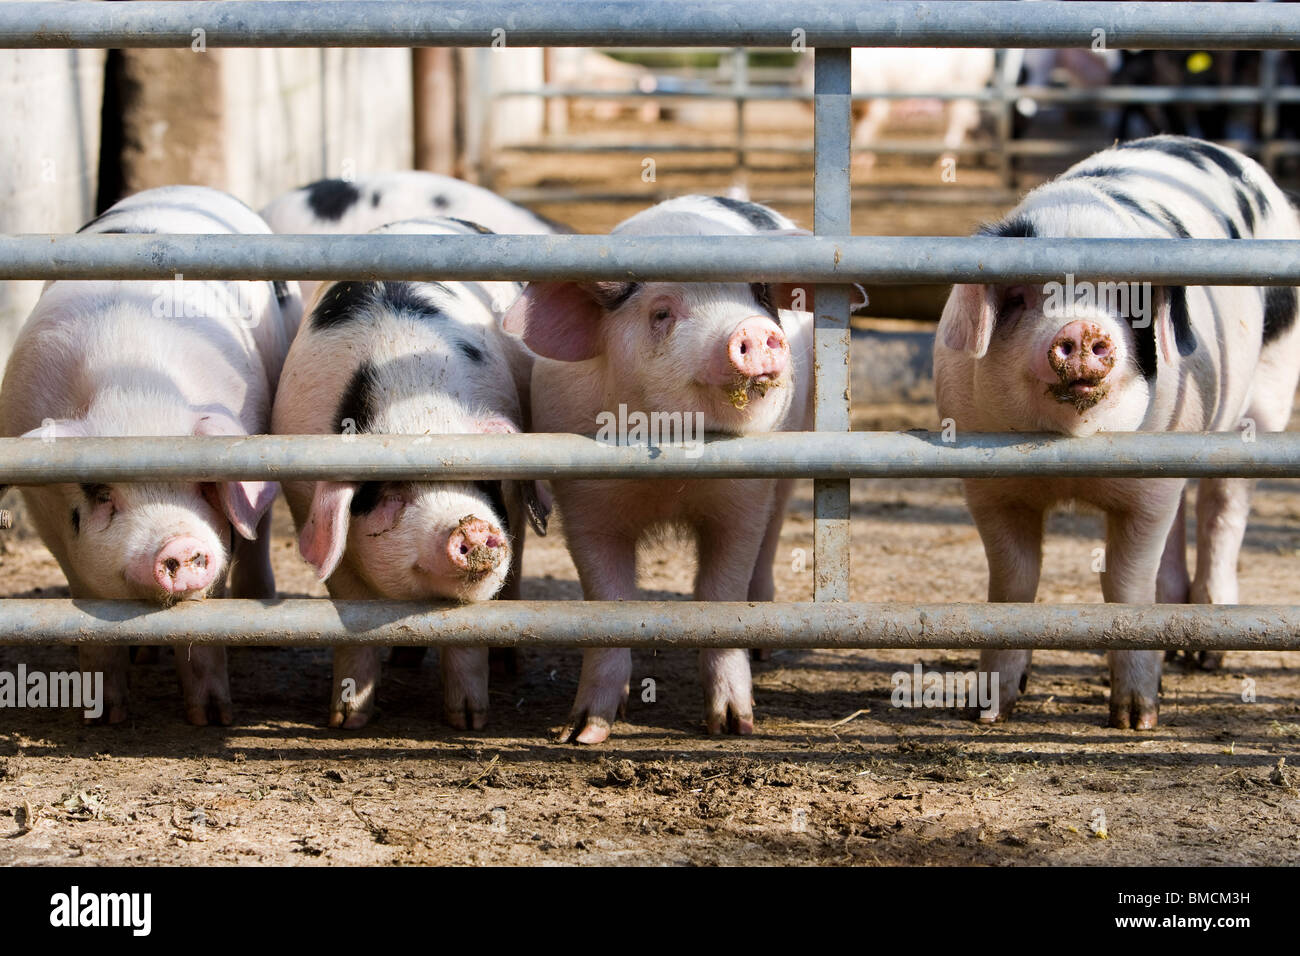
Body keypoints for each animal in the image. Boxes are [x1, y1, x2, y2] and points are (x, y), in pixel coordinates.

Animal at [0, 185, 301, 725]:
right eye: (101, 493)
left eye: (204, 484)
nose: (178, 543)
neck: (133, 390)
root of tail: (185, 189)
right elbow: (93, 618)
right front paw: (105, 718)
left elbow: (203, 627)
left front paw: (212, 718)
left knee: (260, 528)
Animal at [271, 217, 546, 730]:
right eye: (391, 493)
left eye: (485, 481)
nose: (470, 526)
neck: (417, 414)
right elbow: (353, 617)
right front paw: (346, 722)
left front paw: (469, 722)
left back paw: (507, 663)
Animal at [502, 195, 814, 743]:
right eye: (663, 312)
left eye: (760, 296)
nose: (754, 329)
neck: (668, 470)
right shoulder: (583, 505)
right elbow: (609, 602)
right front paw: (583, 732)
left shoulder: (742, 499)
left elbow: (718, 594)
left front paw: (733, 727)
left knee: (774, 530)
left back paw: (763, 644)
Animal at [934, 135, 1300, 729]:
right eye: (1020, 297)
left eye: (1130, 300)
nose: (1083, 330)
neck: (1071, 450)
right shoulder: (989, 488)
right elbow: (1013, 583)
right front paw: (989, 711)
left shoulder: (1146, 491)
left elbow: (1125, 587)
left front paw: (1136, 719)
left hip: (1268, 391)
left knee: (1223, 507)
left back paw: (1206, 654)